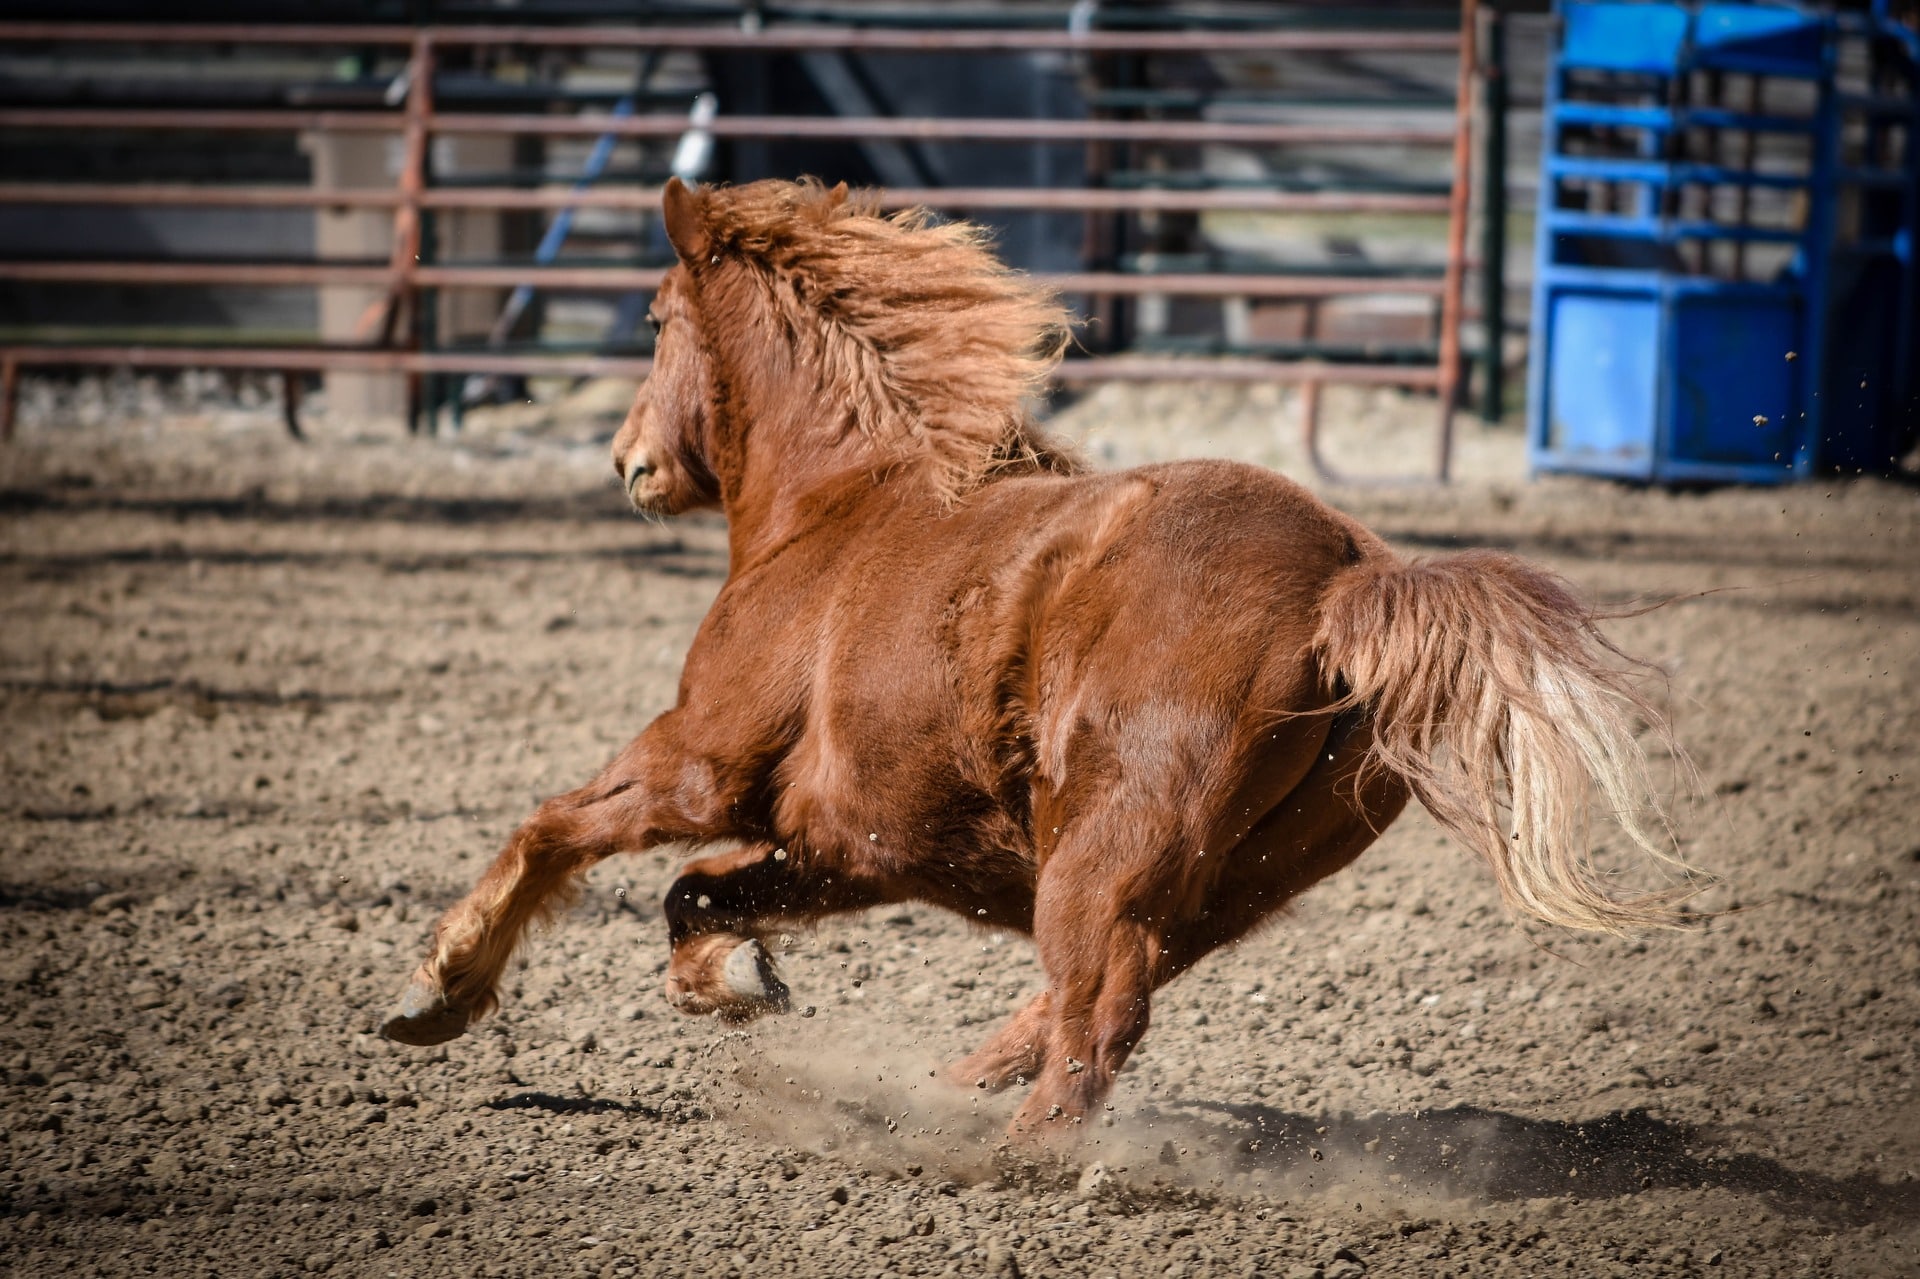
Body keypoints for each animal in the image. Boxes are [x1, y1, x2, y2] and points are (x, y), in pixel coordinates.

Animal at [381, 176, 1701, 1140]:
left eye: (657, 320)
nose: (626, 460)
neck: (834, 510)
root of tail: (1344, 579)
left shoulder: (698, 759)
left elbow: (559, 826)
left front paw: (439, 988)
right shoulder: (845, 843)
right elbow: (699, 892)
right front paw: (736, 975)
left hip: (1109, 844)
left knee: (1098, 1015)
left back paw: (1002, 1159)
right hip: (1225, 882)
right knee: (1088, 1000)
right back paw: (944, 1099)